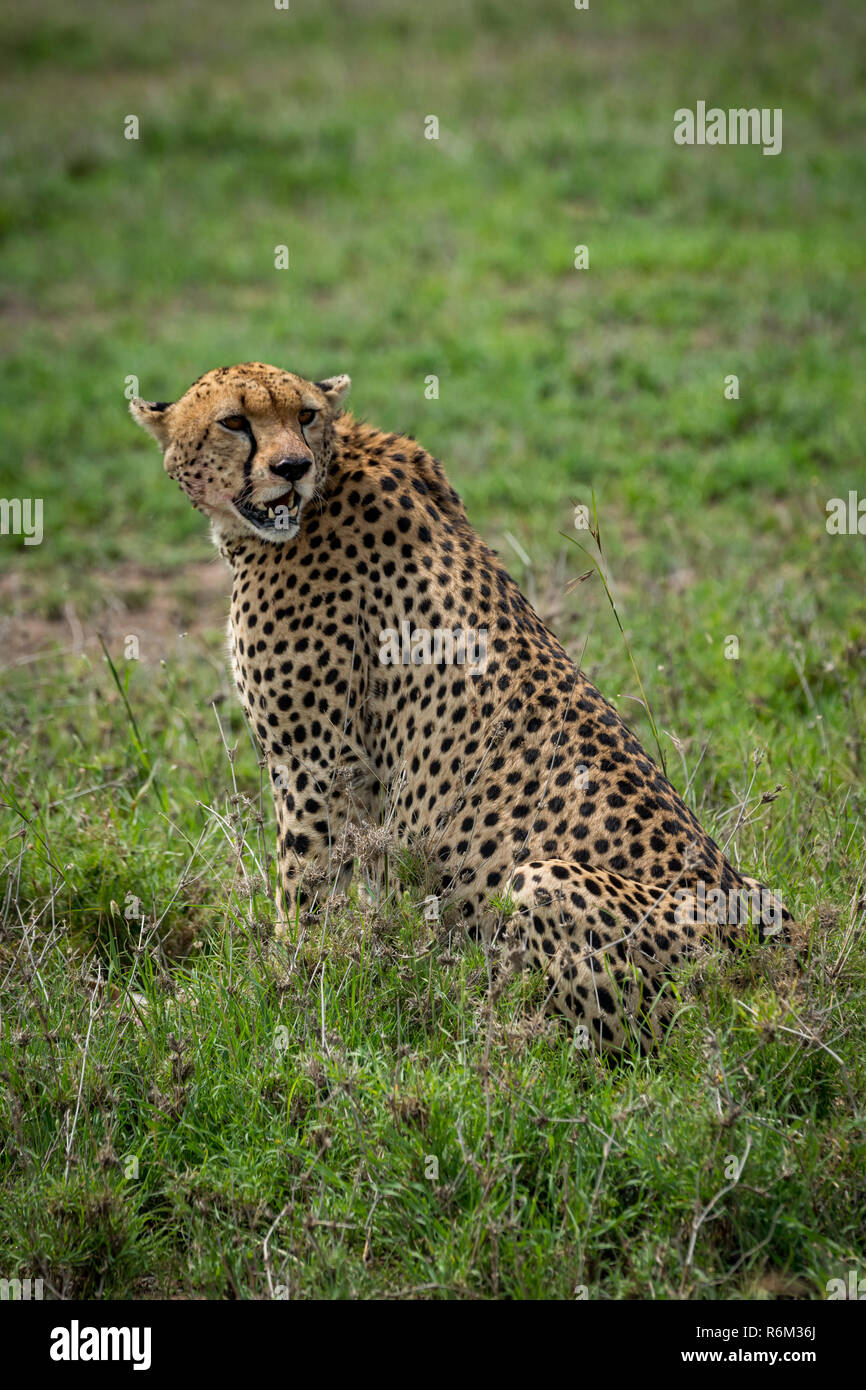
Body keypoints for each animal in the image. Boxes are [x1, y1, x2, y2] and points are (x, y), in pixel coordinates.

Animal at [131, 361, 793, 1052]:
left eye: (305, 415)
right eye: (235, 421)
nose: (292, 468)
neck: (336, 468)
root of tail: (779, 960)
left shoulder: (318, 765)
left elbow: (304, 892)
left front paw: (282, 988)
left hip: (546, 880)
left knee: (620, 1053)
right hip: (761, 893)